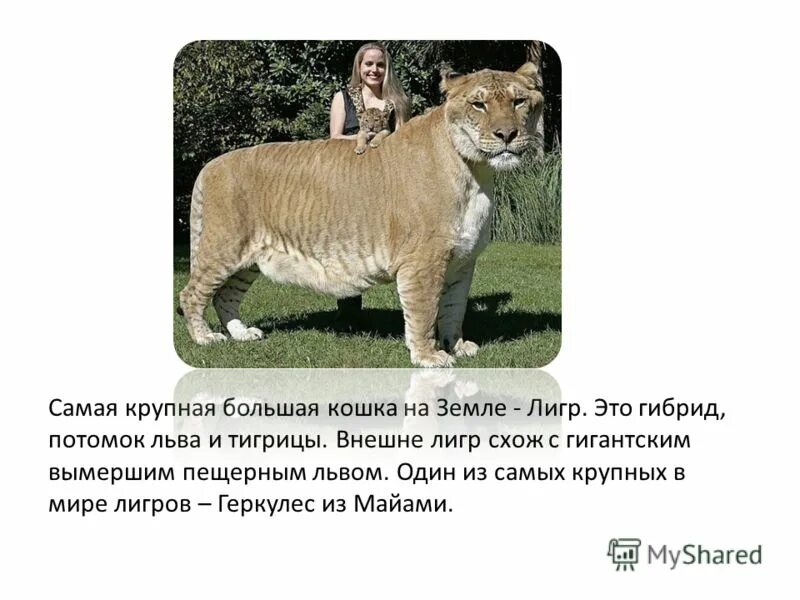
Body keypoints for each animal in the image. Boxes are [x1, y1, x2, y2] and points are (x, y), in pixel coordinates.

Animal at [178, 63, 544, 367]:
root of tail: (210, 165)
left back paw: (241, 334)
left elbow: (454, 309)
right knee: (192, 294)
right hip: (222, 248)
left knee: (225, 296)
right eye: (478, 105)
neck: (476, 172)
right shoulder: (422, 261)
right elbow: (424, 311)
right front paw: (429, 357)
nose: (507, 135)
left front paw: (457, 346)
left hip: (248, 260)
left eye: (519, 101)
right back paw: (206, 338)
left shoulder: (463, 261)